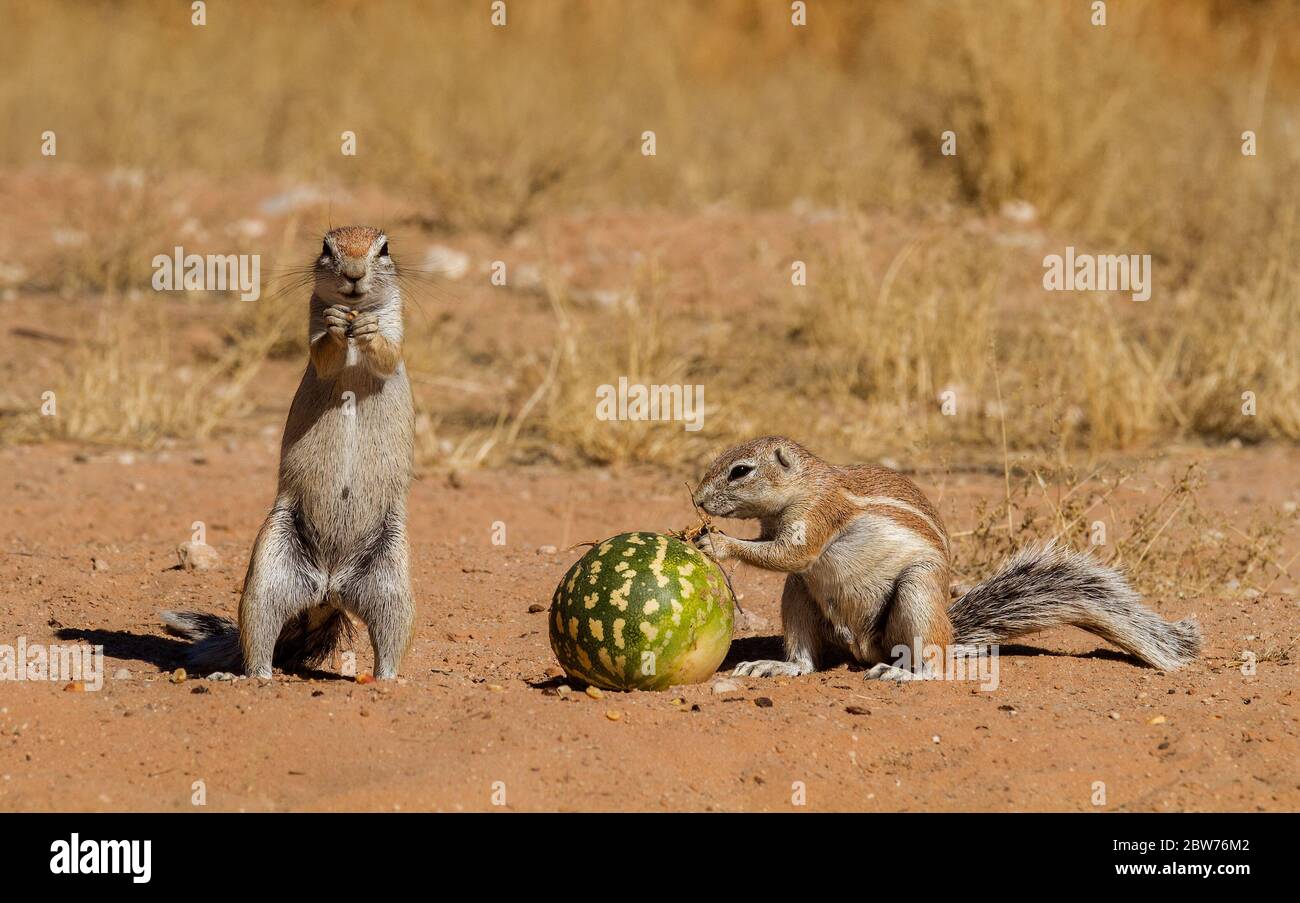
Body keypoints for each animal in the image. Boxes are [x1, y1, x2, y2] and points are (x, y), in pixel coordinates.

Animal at [162, 226, 415, 679]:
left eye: (384, 248)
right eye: (326, 248)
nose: (353, 275)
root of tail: (330, 587)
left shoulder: (395, 326)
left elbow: (387, 354)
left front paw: (369, 331)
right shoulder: (313, 326)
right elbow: (323, 354)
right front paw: (335, 326)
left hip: (393, 587)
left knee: (390, 643)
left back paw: (389, 681)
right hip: (267, 576)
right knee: (259, 641)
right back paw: (247, 677)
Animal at [691, 436, 1201, 680]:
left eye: (740, 471)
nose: (696, 499)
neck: (805, 484)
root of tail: (870, 649)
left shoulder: (817, 516)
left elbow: (793, 552)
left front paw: (717, 543)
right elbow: (783, 555)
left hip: (917, 590)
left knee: (933, 662)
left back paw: (907, 674)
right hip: (800, 595)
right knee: (805, 646)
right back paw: (781, 666)